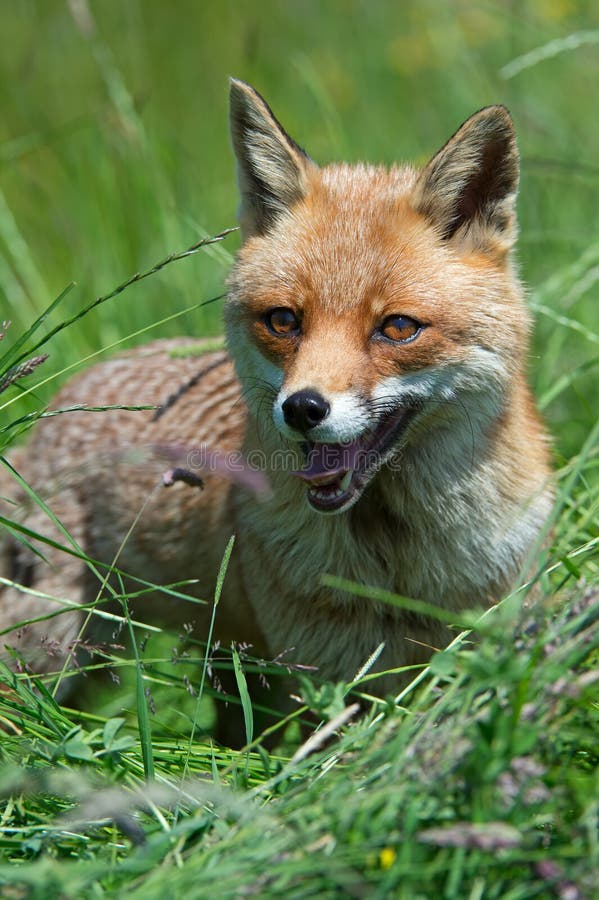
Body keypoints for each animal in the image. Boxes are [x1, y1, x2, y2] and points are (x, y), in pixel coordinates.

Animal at [0, 79, 552, 728]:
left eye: (397, 327)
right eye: (284, 320)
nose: (303, 409)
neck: (398, 569)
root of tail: (56, 411)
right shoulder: (322, 685)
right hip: (57, 657)